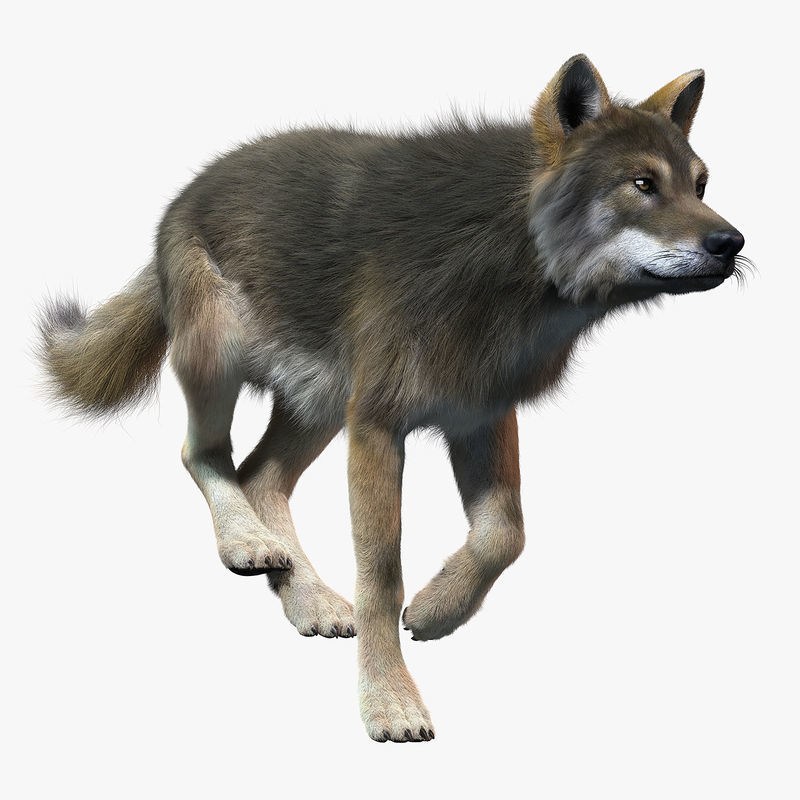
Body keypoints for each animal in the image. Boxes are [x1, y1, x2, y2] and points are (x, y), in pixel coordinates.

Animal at [37, 55, 746, 742]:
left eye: (700, 186)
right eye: (642, 184)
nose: (732, 244)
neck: (502, 263)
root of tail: (187, 191)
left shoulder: (480, 415)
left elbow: (506, 534)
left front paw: (436, 612)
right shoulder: (378, 424)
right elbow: (381, 575)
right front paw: (389, 704)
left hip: (322, 406)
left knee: (260, 475)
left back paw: (310, 601)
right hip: (223, 361)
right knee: (202, 453)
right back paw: (246, 545)